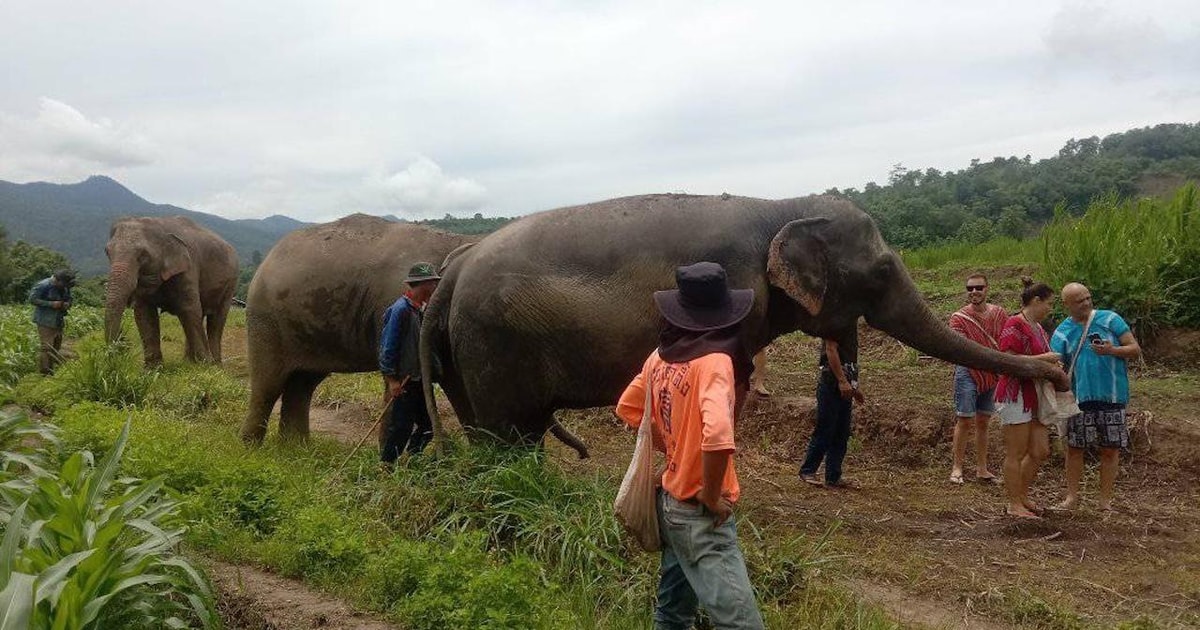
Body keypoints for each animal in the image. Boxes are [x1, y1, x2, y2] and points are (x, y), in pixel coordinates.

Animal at [105, 216, 239, 367]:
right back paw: (189, 362)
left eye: (143, 255)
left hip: (230, 284)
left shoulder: (188, 269)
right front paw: (153, 369)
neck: (159, 223)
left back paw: (215, 365)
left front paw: (205, 366)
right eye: (107, 252)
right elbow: (143, 314)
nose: (123, 345)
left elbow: (189, 309)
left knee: (216, 319)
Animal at [238, 214, 478, 444]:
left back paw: (296, 447)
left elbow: (453, 376)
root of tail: (267, 259)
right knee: (268, 384)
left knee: (303, 383)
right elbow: (440, 377)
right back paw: (251, 448)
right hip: (266, 320)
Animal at [419, 193, 1067, 458]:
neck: (781, 208)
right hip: (492, 342)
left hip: (463, 347)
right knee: (510, 431)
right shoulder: (737, 290)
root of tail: (452, 270)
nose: (1056, 368)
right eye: (883, 270)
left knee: (489, 430)